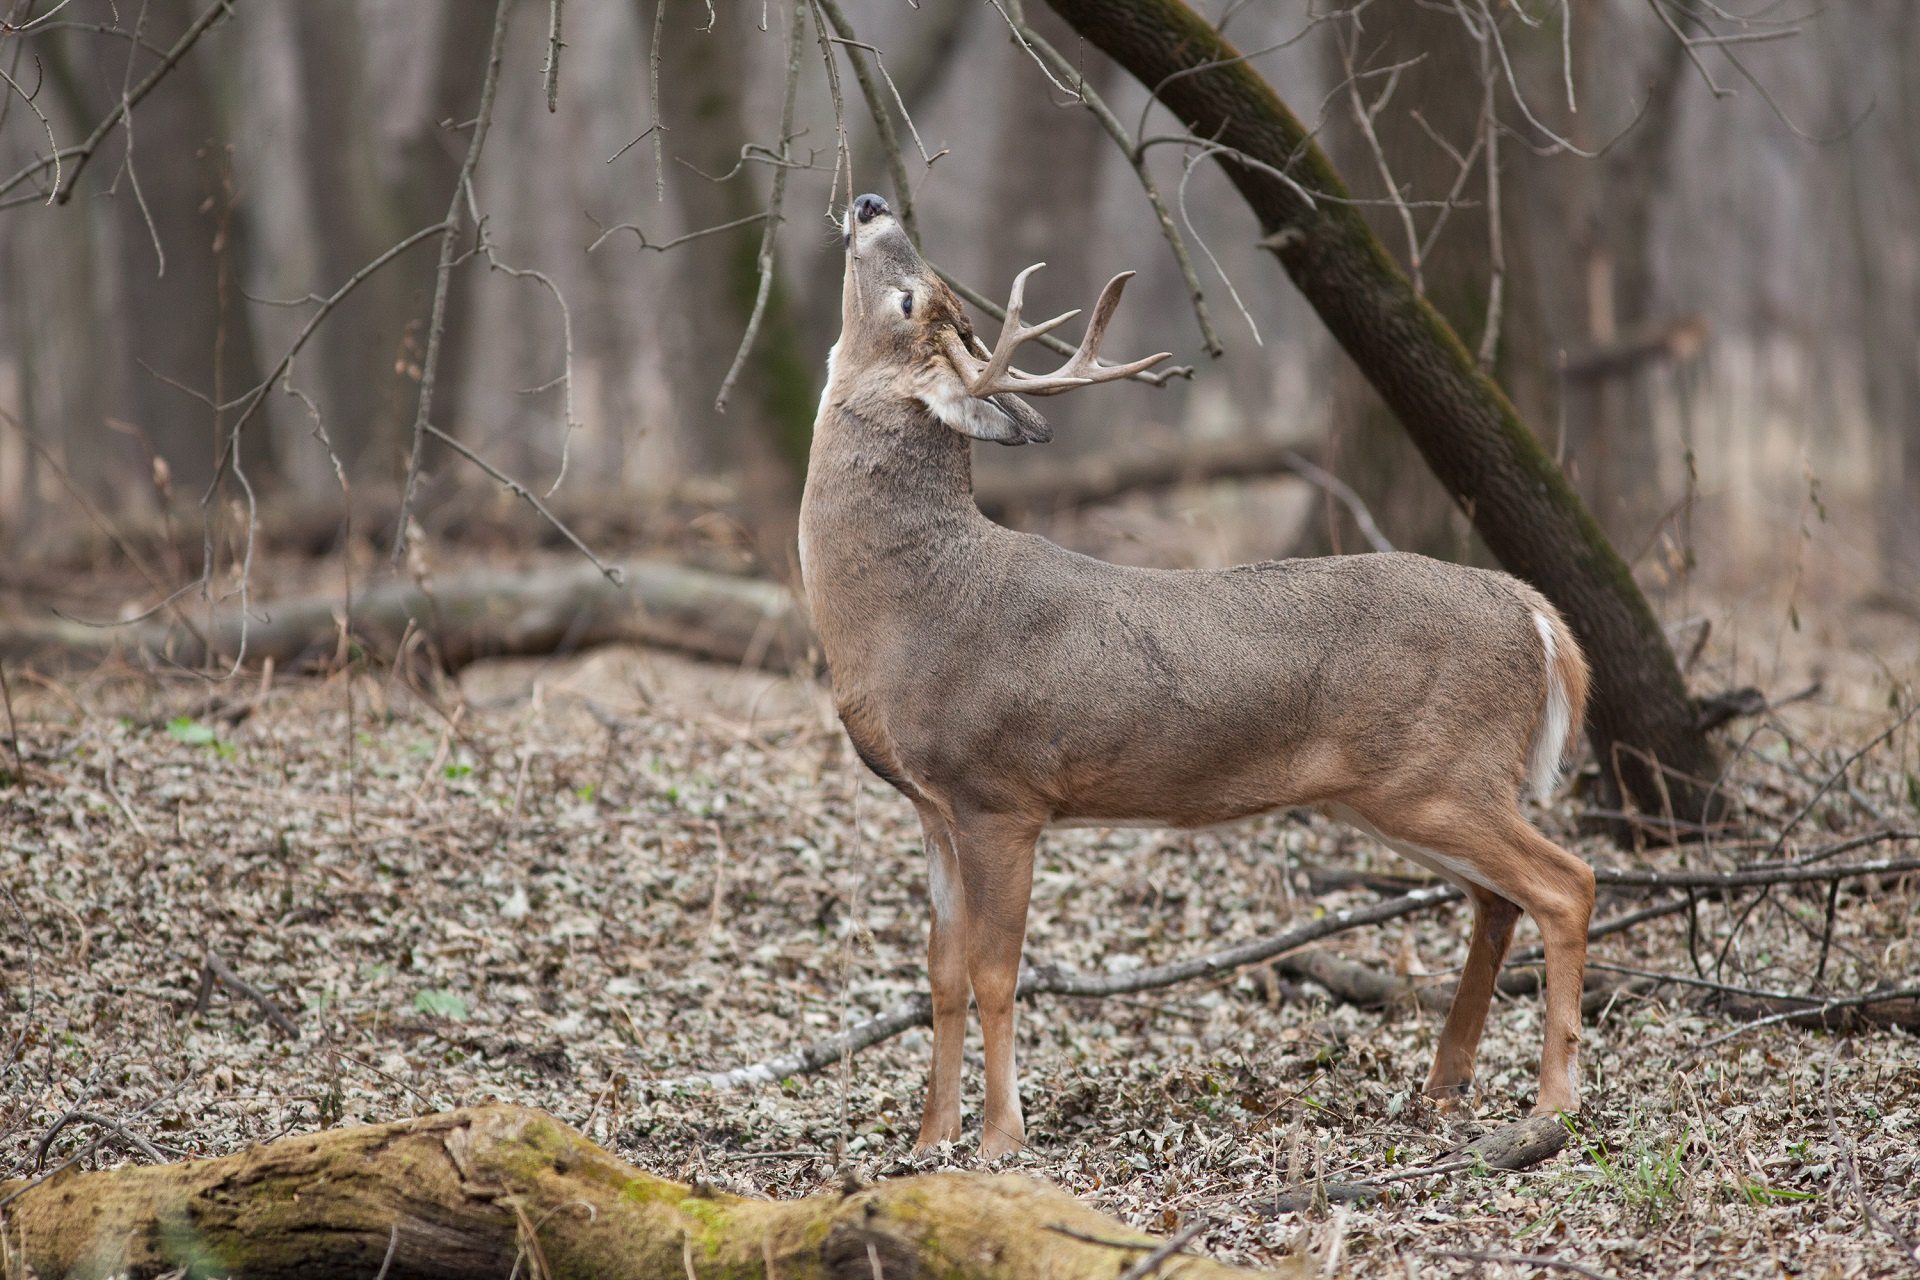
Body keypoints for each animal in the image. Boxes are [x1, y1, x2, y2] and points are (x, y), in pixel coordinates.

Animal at [799, 193, 1595, 1159]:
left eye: (909, 298)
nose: (870, 203)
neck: (910, 609)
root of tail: (1536, 614)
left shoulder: (1001, 794)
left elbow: (995, 971)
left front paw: (999, 1143)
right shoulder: (932, 806)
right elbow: (941, 973)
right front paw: (927, 1142)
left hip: (1441, 774)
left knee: (1566, 884)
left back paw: (1552, 1102)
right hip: (1400, 791)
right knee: (1496, 899)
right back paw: (1446, 1082)